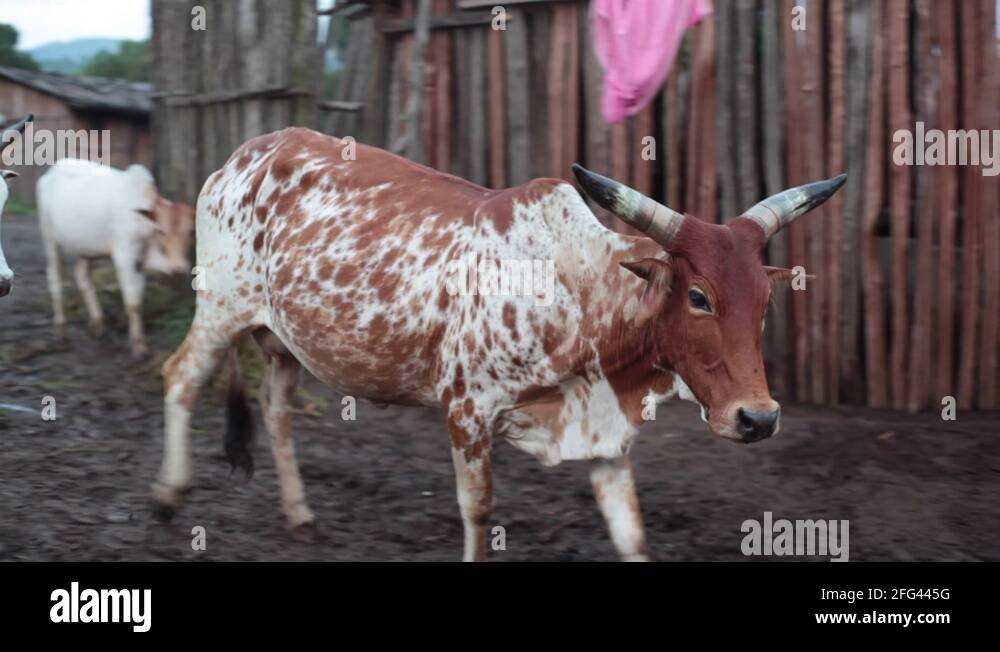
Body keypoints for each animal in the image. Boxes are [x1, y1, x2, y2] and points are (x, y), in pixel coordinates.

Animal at [37, 159, 194, 358]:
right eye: (161, 231)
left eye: (190, 231)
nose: (179, 268)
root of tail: (50, 172)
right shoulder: (124, 257)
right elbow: (133, 303)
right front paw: (138, 347)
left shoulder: (139, 261)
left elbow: (138, 300)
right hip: (49, 239)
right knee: (54, 278)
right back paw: (61, 330)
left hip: (87, 248)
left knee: (81, 275)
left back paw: (98, 324)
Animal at [152, 127, 845, 561]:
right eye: (699, 297)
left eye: (764, 300)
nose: (758, 418)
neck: (578, 293)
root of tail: (246, 154)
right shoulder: (466, 410)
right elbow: (478, 510)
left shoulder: (605, 437)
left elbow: (632, 536)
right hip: (221, 307)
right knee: (181, 377)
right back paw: (167, 498)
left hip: (283, 338)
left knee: (275, 409)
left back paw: (298, 514)